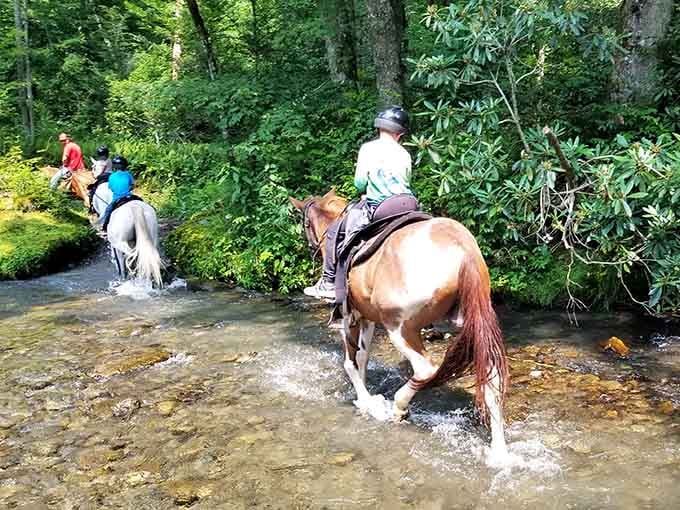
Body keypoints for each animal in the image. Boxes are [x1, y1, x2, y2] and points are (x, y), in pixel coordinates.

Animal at [290, 189, 511, 464]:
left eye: (305, 224)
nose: (310, 245)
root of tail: (463, 250)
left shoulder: (349, 317)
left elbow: (350, 362)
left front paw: (365, 401)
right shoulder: (368, 318)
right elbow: (363, 357)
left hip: (399, 328)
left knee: (426, 369)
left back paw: (398, 407)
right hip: (472, 321)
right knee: (492, 376)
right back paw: (499, 451)